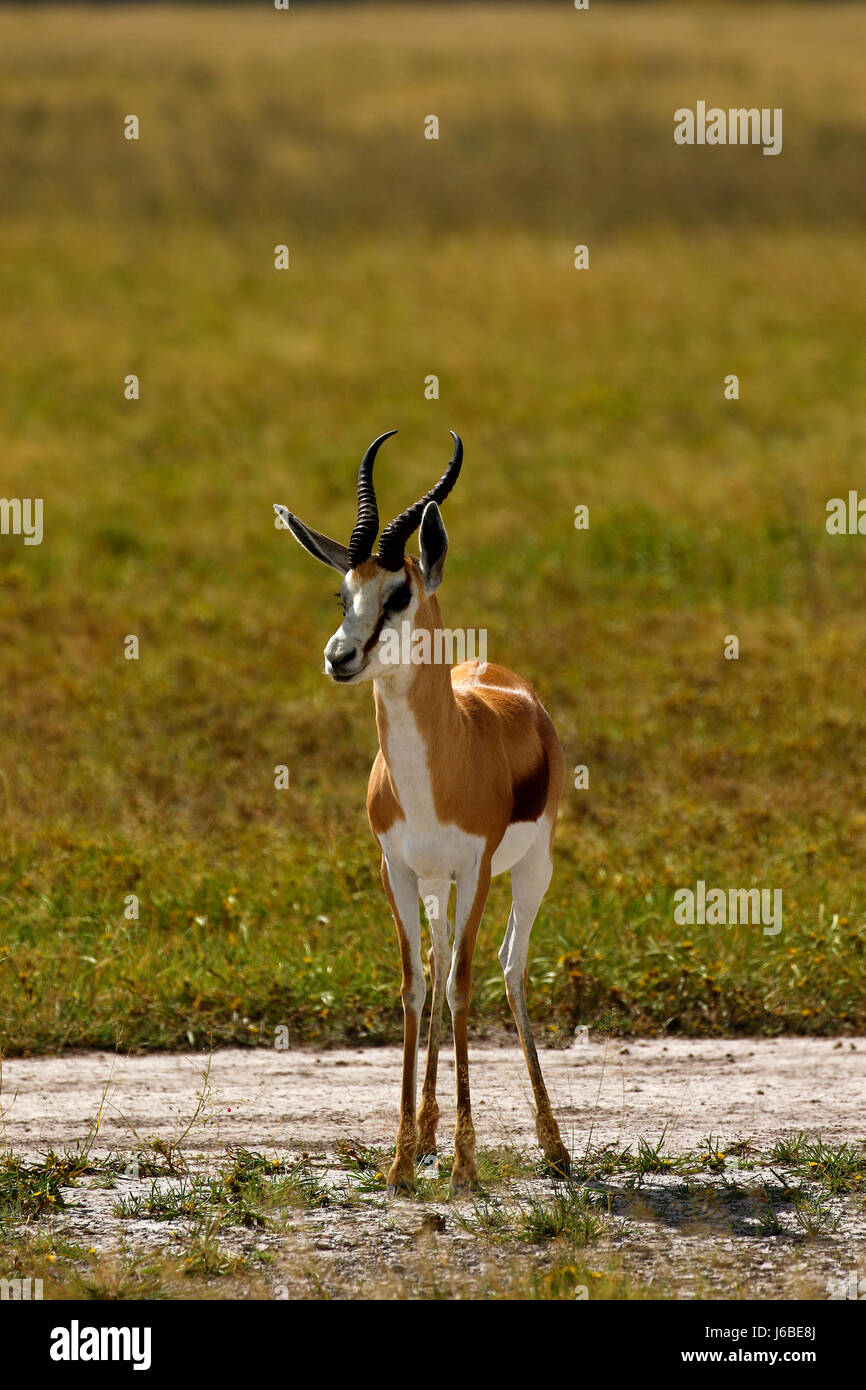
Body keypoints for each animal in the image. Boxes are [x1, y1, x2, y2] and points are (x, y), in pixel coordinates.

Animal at [275, 431, 570, 1193]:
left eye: (400, 592)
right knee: (439, 962)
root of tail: (499, 678)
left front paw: (466, 1163)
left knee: (508, 966)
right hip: (439, 883)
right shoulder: (397, 870)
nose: (340, 656)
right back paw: (433, 1132)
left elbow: (465, 985)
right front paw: (403, 1160)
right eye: (342, 591)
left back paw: (554, 1147)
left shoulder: (478, 869)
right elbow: (415, 986)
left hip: (530, 871)